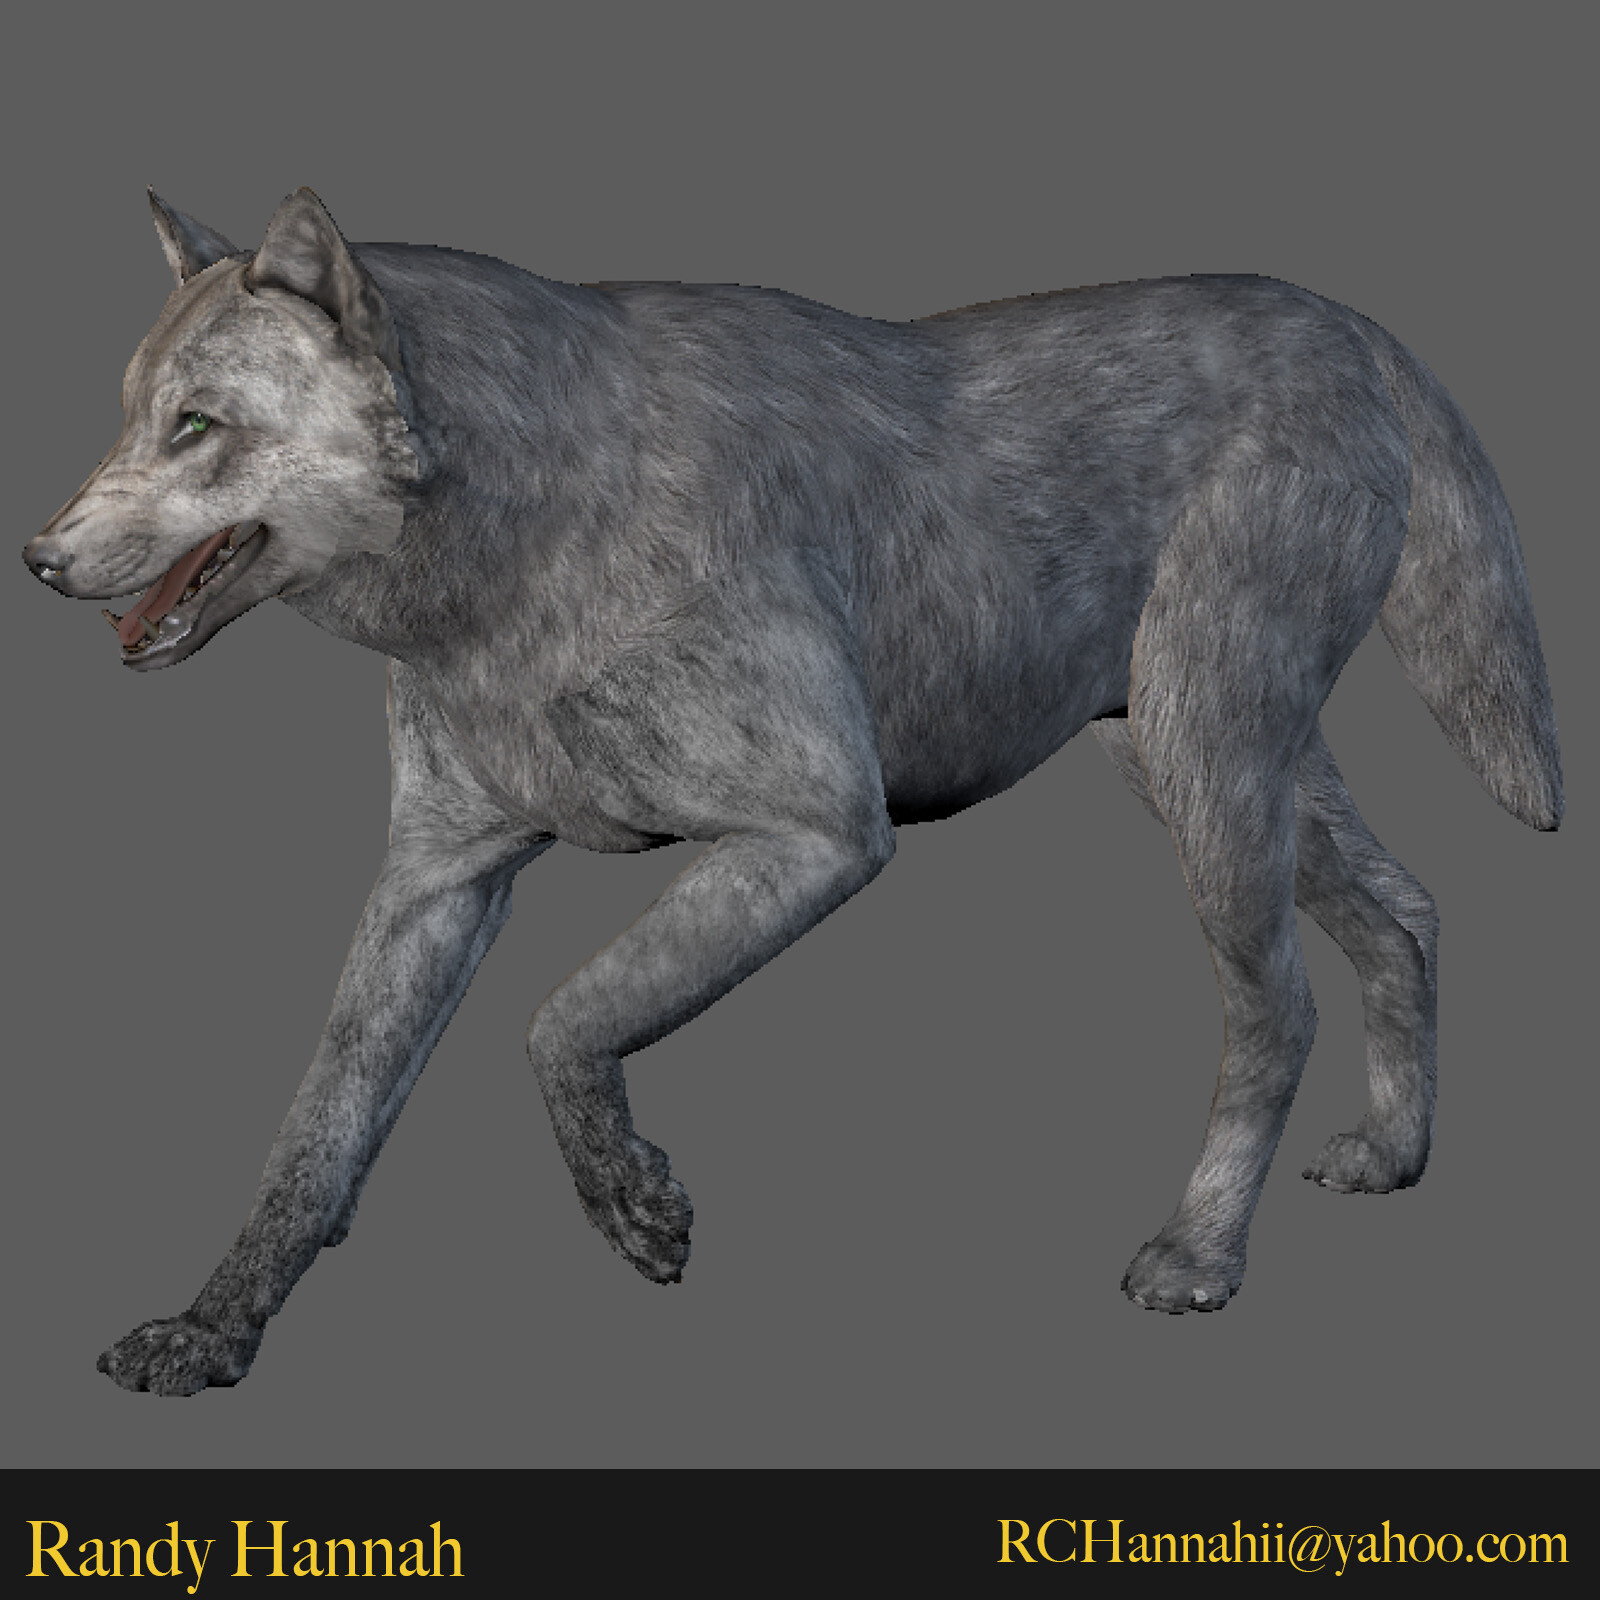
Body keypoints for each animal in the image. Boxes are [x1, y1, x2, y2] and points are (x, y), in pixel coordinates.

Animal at [25, 188, 1560, 1395]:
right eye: (129, 417)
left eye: (198, 426)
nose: (39, 558)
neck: (515, 548)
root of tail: (1346, 319)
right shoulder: (431, 882)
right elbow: (313, 1135)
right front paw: (209, 1333)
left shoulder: (817, 833)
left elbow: (562, 1019)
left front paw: (637, 1210)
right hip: (1203, 763)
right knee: (1409, 912)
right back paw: (1394, 1156)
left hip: (1207, 770)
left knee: (1278, 1005)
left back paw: (1197, 1256)